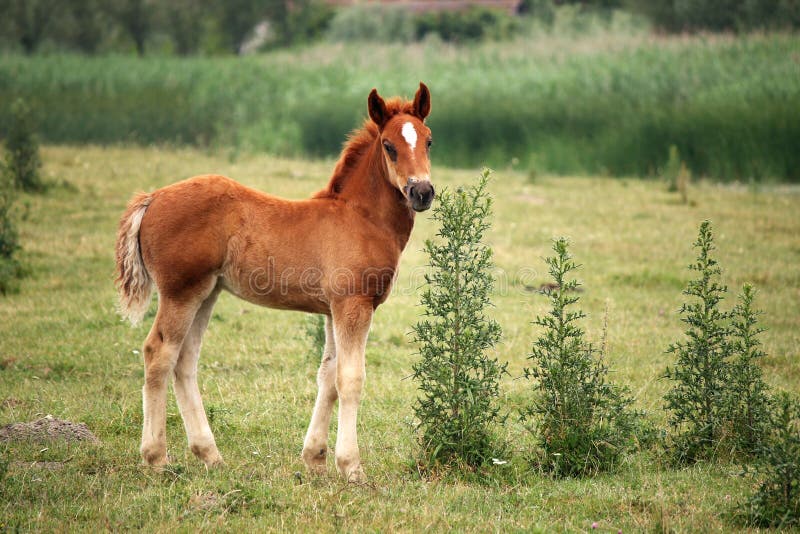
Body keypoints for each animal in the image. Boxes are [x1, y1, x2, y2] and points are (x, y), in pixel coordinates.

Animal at [115, 83, 434, 482]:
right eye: (389, 145)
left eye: (429, 141)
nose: (422, 192)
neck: (360, 218)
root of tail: (152, 197)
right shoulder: (353, 304)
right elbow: (350, 379)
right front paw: (351, 467)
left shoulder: (332, 309)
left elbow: (327, 376)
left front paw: (314, 459)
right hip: (180, 292)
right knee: (158, 354)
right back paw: (156, 457)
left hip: (206, 293)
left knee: (184, 361)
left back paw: (210, 455)